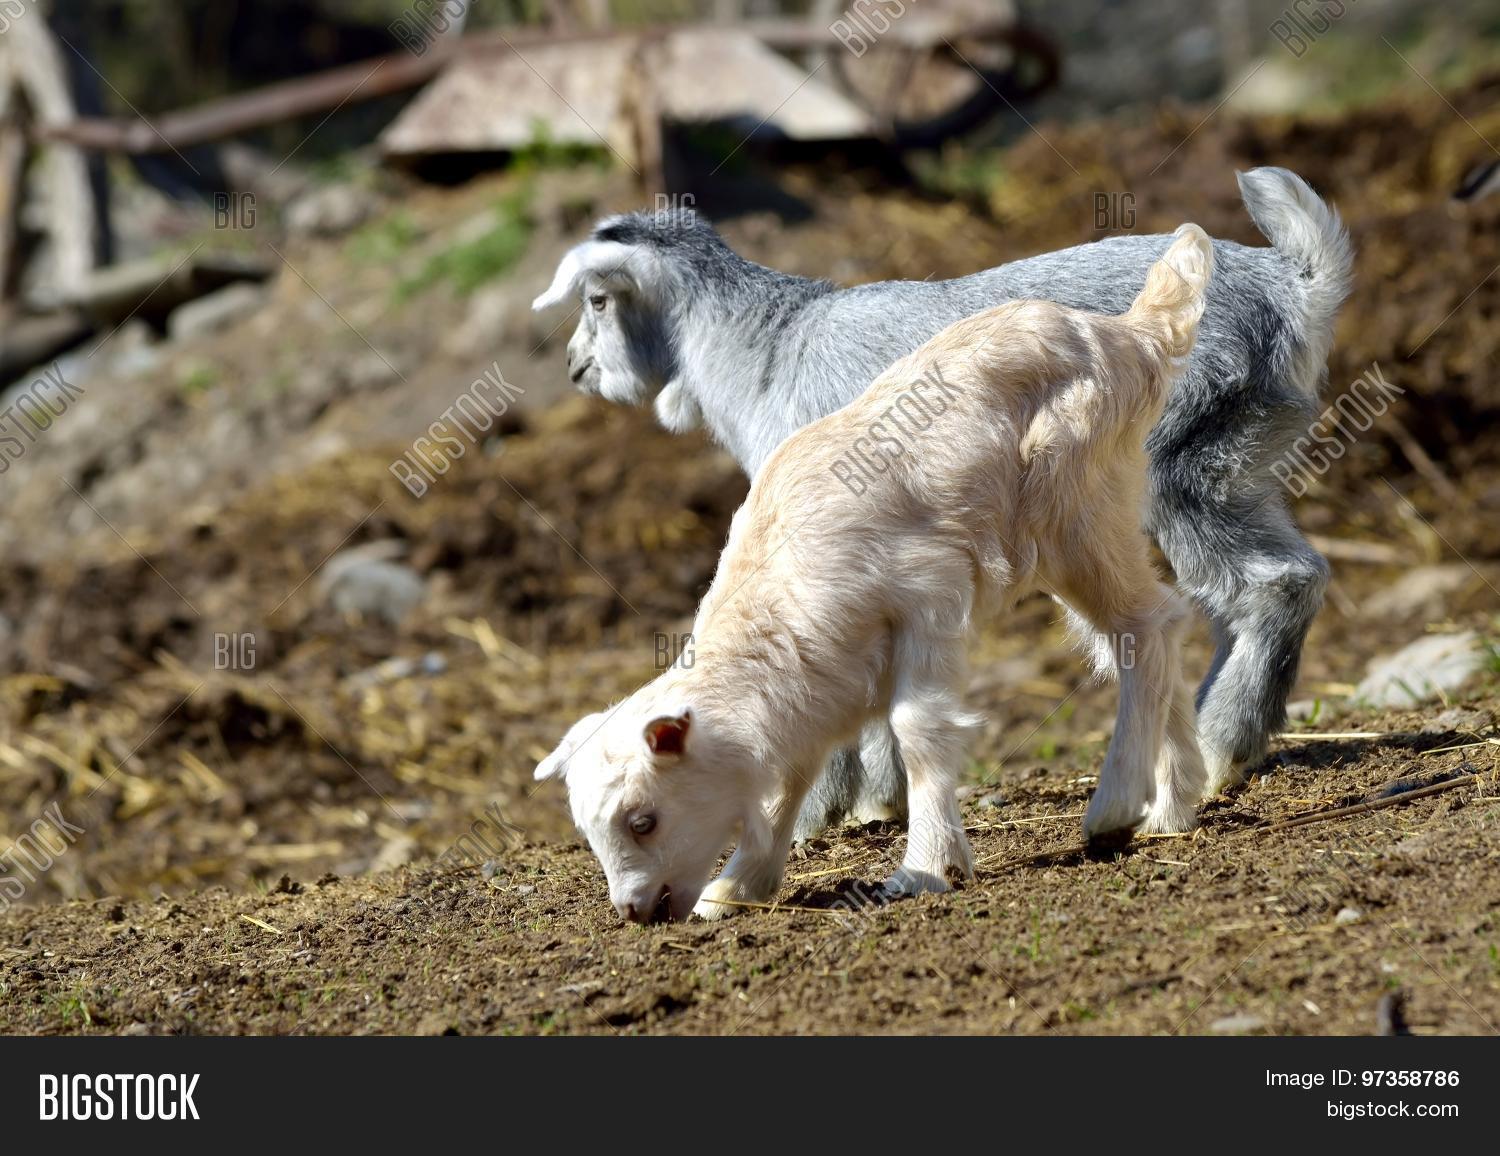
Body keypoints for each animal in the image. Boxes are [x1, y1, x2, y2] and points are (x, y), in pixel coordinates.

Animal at [534, 167, 1352, 840]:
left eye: (598, 300)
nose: (575, 369)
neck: (765, 353)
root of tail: (1293, 286)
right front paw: (875, 801)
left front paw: (815, 813)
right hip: (1238, 462)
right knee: (1274, 582)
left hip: (1178, 463)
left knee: (1265, 585)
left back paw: (1215, 752)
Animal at [535, 226, 1214, 923]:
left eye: (643, 819)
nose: (635, 911)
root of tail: (1131, 336)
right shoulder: (822, 683)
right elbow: (788, 779)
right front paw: (739, 886)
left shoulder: (930, 592)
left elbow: (917, 729)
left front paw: (926, 866)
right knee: (1151, 627)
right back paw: (1173, 806)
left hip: (1076, 510)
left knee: (1145, 627)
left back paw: (1115, 808)